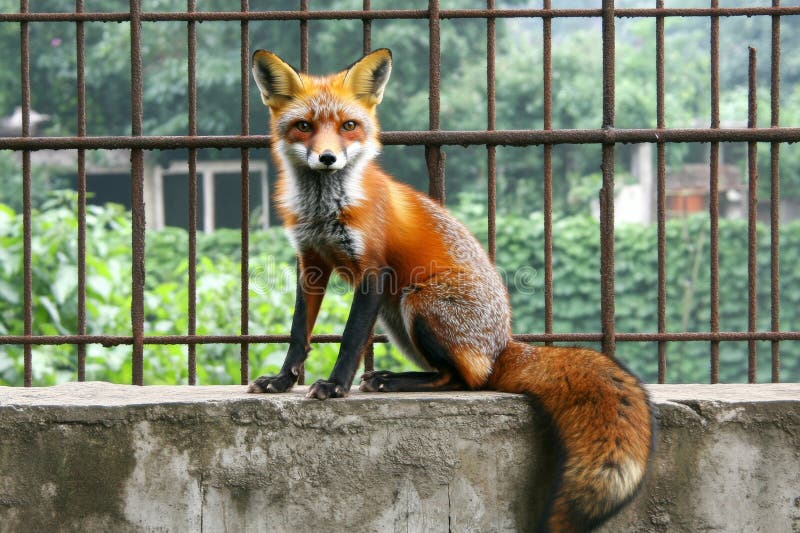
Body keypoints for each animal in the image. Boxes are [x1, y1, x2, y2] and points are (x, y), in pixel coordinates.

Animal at [247, 47, 654, 532]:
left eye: (348, 126)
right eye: (304, 126)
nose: (327, 158)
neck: (327, 209)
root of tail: (503, 345)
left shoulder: (373, 270)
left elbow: (349, 340)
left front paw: (334, 387)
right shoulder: (310, 263)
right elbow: (298, 334)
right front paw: (283, 380)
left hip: (417, 301)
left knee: (467, 380)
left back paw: (394, 381)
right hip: (396, 315)